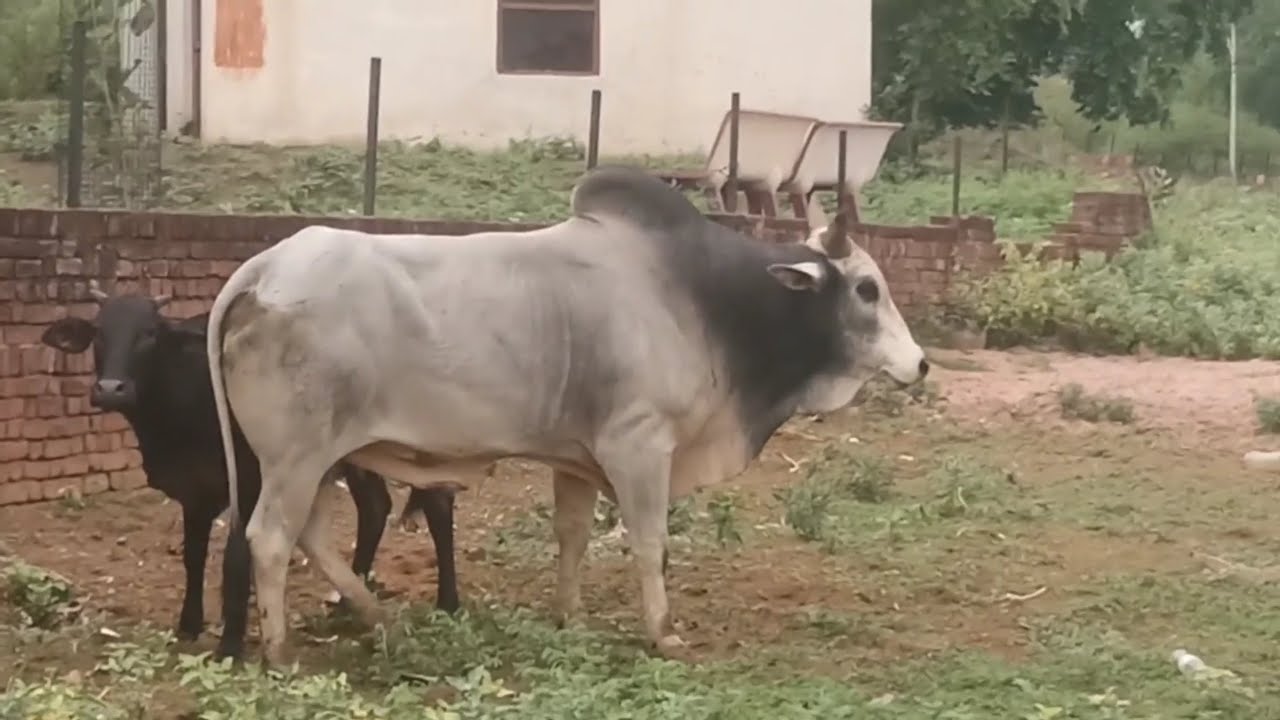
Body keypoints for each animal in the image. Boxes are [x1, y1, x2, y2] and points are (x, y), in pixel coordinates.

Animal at [39, 286, 463, 660]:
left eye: (150, 333)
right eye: (98, 332)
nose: (111, 388)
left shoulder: (249, 483)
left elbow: (237, 557)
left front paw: (231, 642)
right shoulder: (194, 492)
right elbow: (193, 555)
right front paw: (189, 625)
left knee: (438, 509)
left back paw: (448, 603)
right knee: (375, 507)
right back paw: (350, 599)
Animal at [205, 165, 929, 667]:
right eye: (867, 289)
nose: (921, 364)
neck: (702, 300)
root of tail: (265, 266)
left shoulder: (576, 461)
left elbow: (573, 537)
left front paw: (570, 616)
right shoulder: (640, 447)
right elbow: (650, 542)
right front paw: (663, 634)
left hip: (321, 460)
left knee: (311, 537)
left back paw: (378, 617)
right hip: (297, 456)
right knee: (271, 538)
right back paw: (280, 651)